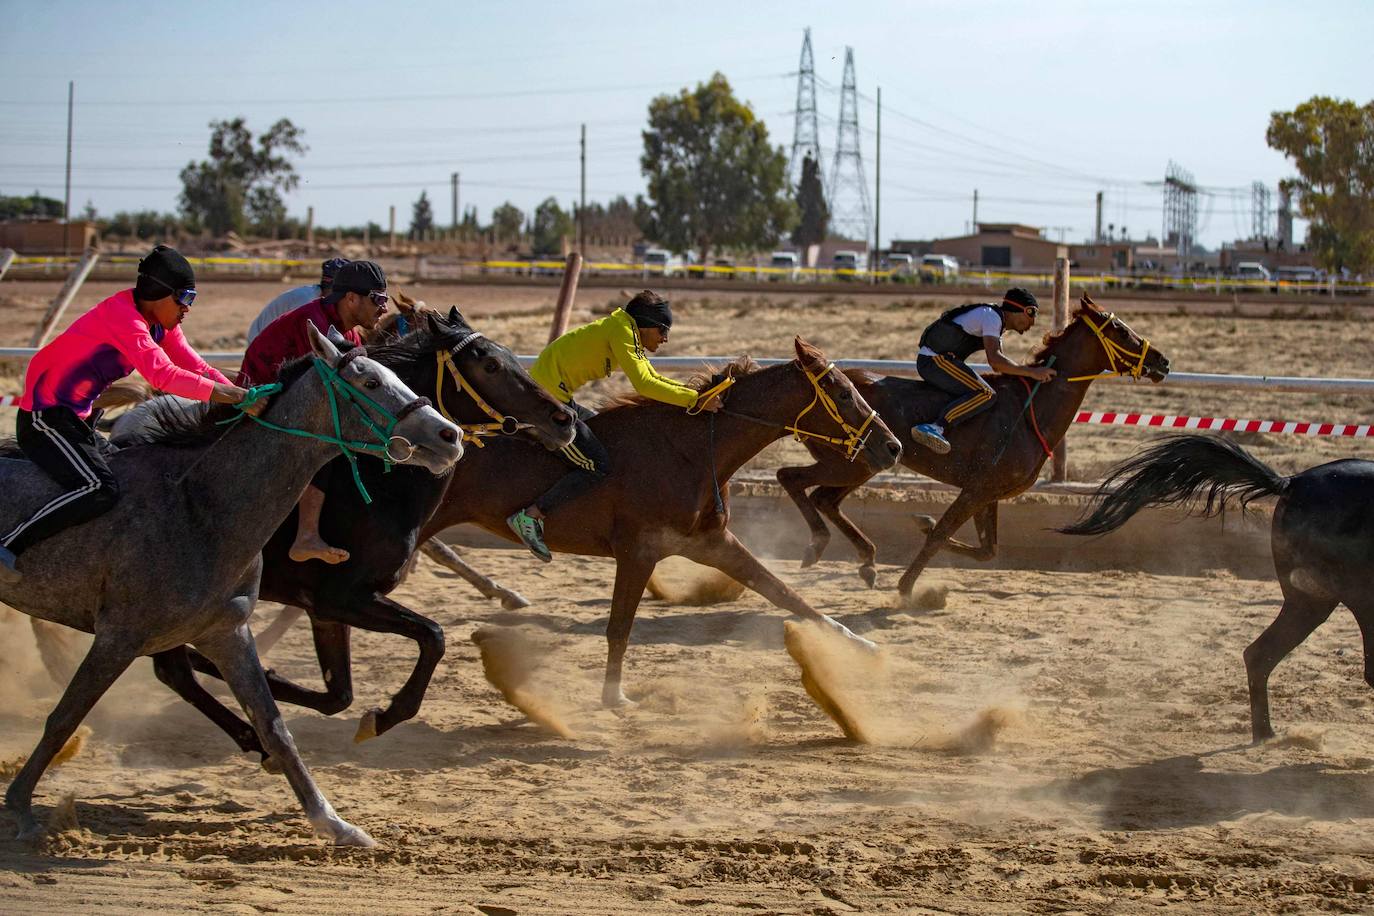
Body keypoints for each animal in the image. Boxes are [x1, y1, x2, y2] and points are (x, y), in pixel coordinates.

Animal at [0, 324, 461, 844]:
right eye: (370, 382)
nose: (450, 435)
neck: (202, 505)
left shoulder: (227, 631)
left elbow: (275, 726)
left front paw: (335, 822)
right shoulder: (120, 636)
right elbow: (64, 717)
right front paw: (20, 807)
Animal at [110, 308, 574, 754]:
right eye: (491, 364)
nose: (565, 417)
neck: (379, 487)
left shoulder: (325, 609)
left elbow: (339, 696)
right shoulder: (343, 598)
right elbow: (434, 636)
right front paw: (383, 717)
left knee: (174, 671)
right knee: (173, 671)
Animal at [420, 337, 904, 708]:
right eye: (843, 393)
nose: (892, 446)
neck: (690, 451)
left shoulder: (713, 543)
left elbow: (787, 594)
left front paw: (862, 648)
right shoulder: (639, 552)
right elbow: (619, 628)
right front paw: (615, 697)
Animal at [774, 295, 1172, 595]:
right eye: (1120, 330)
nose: (1162, 361)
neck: (1031, 411)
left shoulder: (989, 493)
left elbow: (985, 550)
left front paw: (921, 525)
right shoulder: (976, 489)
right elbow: (942, 533)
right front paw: (906, 586)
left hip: (862, 464)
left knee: (824, 498)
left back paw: (866, 560)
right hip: (845, 463)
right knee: (790, 477)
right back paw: (818, 547)